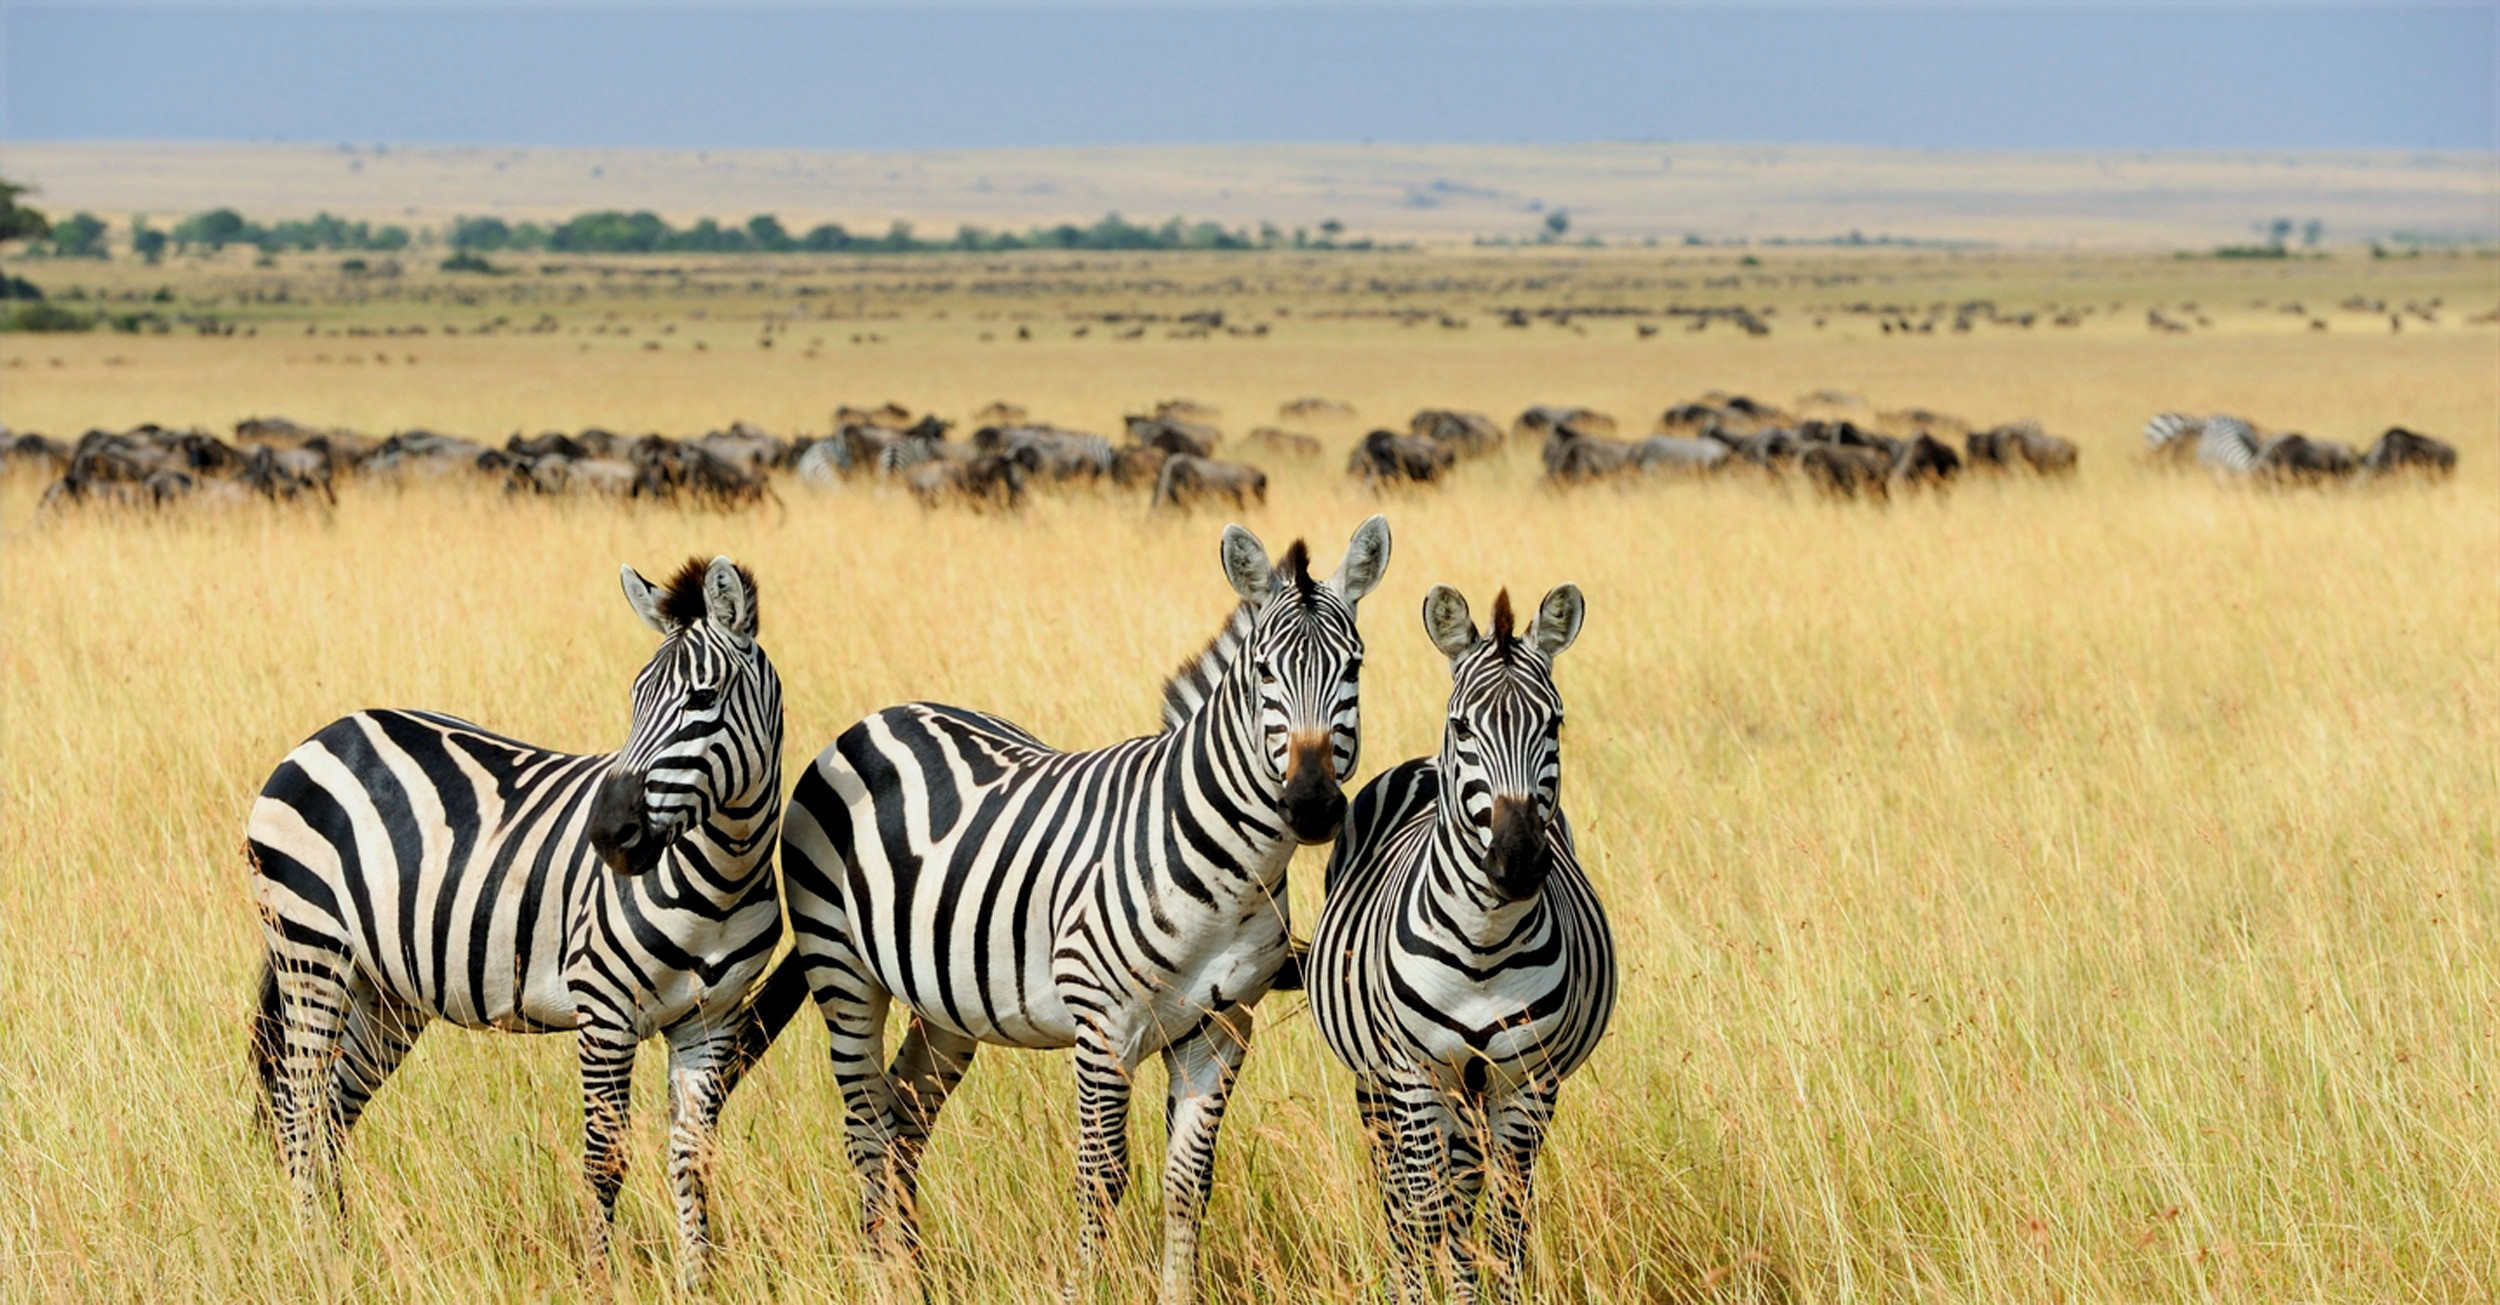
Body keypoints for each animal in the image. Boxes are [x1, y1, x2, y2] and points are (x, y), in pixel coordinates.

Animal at [245, 556, 785, 1288]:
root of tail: (327, 733)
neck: (722, 878)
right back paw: (313, 1259)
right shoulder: (604, 1010)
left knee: (330, 1110)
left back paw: (344, 1250)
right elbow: (604, 1160)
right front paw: (597, 1281)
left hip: (384, 992)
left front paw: (696, 1285)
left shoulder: (712, 1020)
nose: (610, 834)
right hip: (311, 954)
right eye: (635, 697)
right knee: (297, 1110)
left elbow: (692, 1160)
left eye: (703, 699)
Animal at [770, 515, 1391, 1304]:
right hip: (842, 968)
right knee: (865, 1128)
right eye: (1263, 673)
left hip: (947, 1004)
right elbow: (1101, 1179)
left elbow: (1188, 1183)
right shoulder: (1102, 1026)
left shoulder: (1222, 1030)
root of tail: (881, 714)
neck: (1230, 874)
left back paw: (913, 1272)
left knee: (904, 1119)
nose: (1311, 804)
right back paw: (883, 1277)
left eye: (1355, 669)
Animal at [1305, 583, 1617, 1305]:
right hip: (1380, 1083)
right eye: (1464, 727)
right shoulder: (1414, 1075)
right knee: (1402, 1196)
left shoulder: (1527, 1082)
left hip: (1475, 1095)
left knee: (1465, 1197)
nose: (1518, 861)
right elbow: (1424, 1213)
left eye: (1554, 724)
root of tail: (1421, 763)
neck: (1484, 947)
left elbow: (1503, 1227)